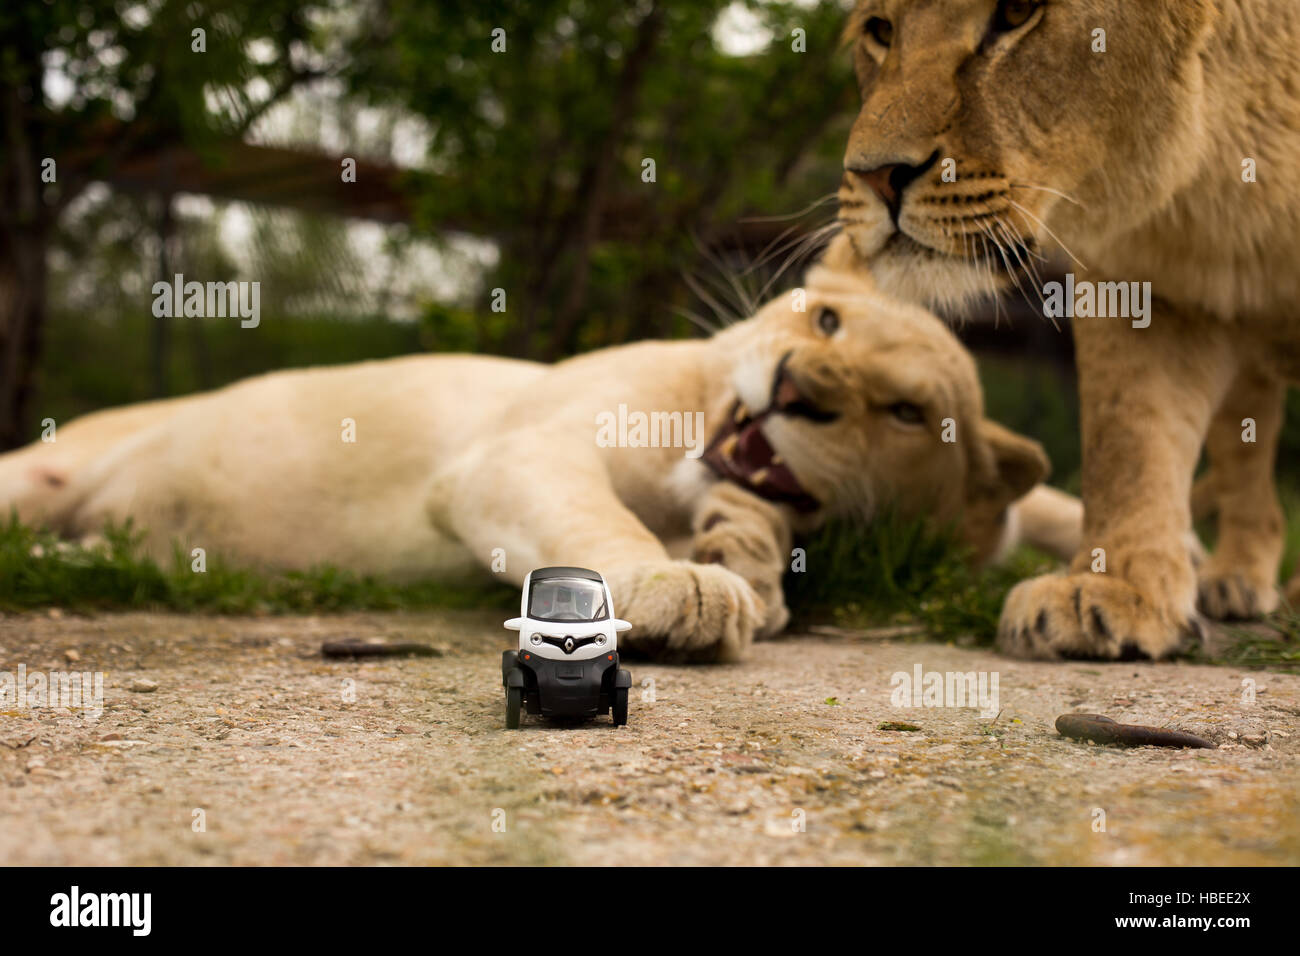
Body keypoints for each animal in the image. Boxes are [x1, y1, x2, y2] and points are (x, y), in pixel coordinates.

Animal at [1, 258, 1079, 661]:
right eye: (826, 320)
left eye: (905, 412)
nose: (793, 387)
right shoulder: (518, 449)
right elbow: (599, 520)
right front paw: (685, 584)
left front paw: (748, 565)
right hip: (34, 474)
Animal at [836, 0, 1300, 659]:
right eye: (880, 30)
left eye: (1017, 13)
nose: (874, 177)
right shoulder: (1148, 275)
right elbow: (1129, 435)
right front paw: (1117, 590)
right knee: (1245, 454)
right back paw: (1236, 578)